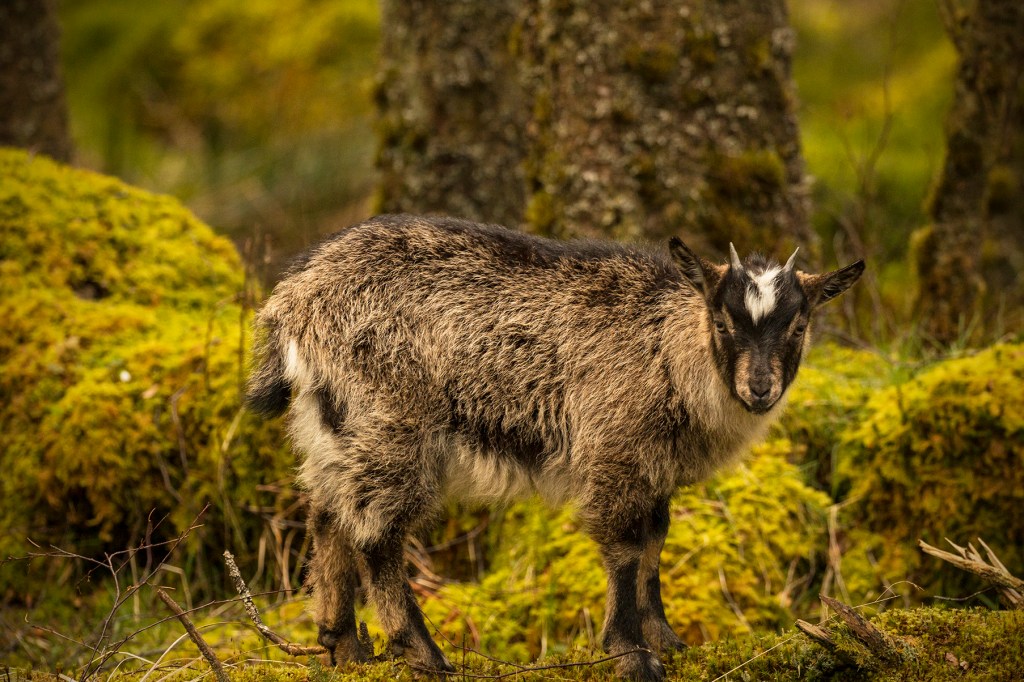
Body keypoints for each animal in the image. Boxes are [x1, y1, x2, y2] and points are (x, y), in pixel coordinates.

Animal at [247, 214, 863, 681]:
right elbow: (626, 549)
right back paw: (424, 654)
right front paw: (632, 655)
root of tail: (291, 301)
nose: (759, 389)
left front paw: (668, 641)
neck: (666, 348)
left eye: (799, 325)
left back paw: (344, 648)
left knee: (327, 514)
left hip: (330, 420)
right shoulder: (616, 450)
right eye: (722, 320)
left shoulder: (651, 467)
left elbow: (655, 544)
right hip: (390, 419)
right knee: (376, 531)